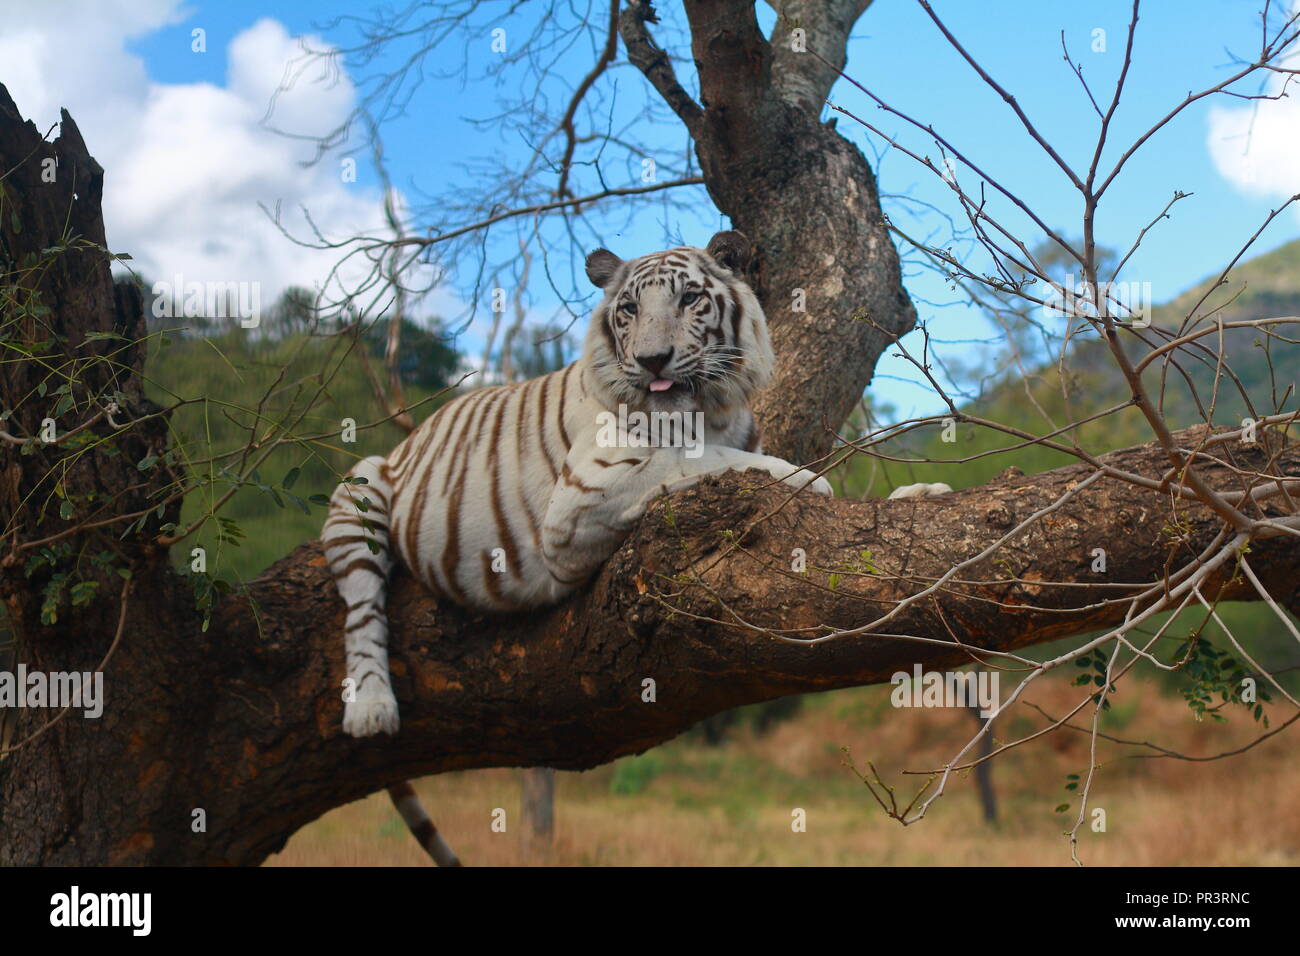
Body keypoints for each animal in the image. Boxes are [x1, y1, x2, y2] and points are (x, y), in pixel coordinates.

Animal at [321, 230, 940, 864]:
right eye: (628, 310)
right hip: (359, 490)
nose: (651, 361)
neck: (711, 411)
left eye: (690, 298)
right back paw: (371, 707)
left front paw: (922, 493)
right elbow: (702, 459)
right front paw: (802, 478)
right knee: (361, 611)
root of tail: (409, 441)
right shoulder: (586, 493)